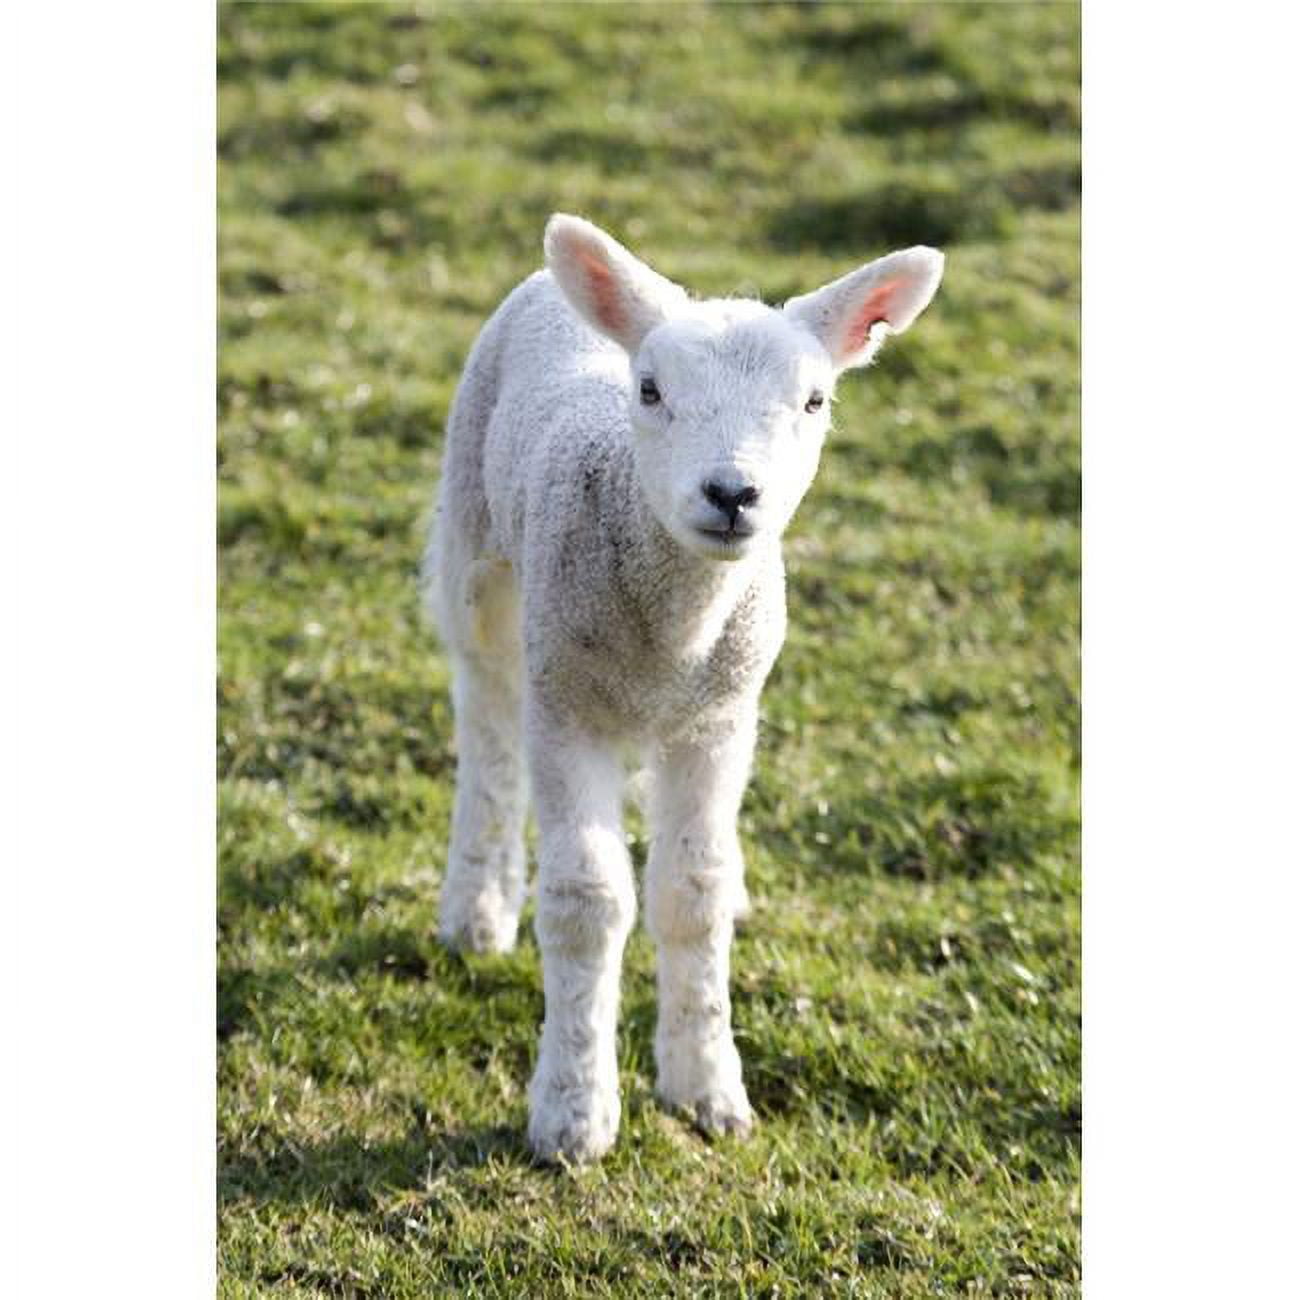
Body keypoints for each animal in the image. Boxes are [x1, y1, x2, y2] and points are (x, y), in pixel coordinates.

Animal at [422, 214, 943, 1164]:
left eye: (815, 402)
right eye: (652, 390)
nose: (733, 492)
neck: (673, 633)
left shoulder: (719, 720)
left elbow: (690, 892)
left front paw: (707, 1088)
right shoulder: (567, 705)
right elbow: (587, 900)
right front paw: (573, 1113)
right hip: (478, 555)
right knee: (487, 729)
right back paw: (478, 905)